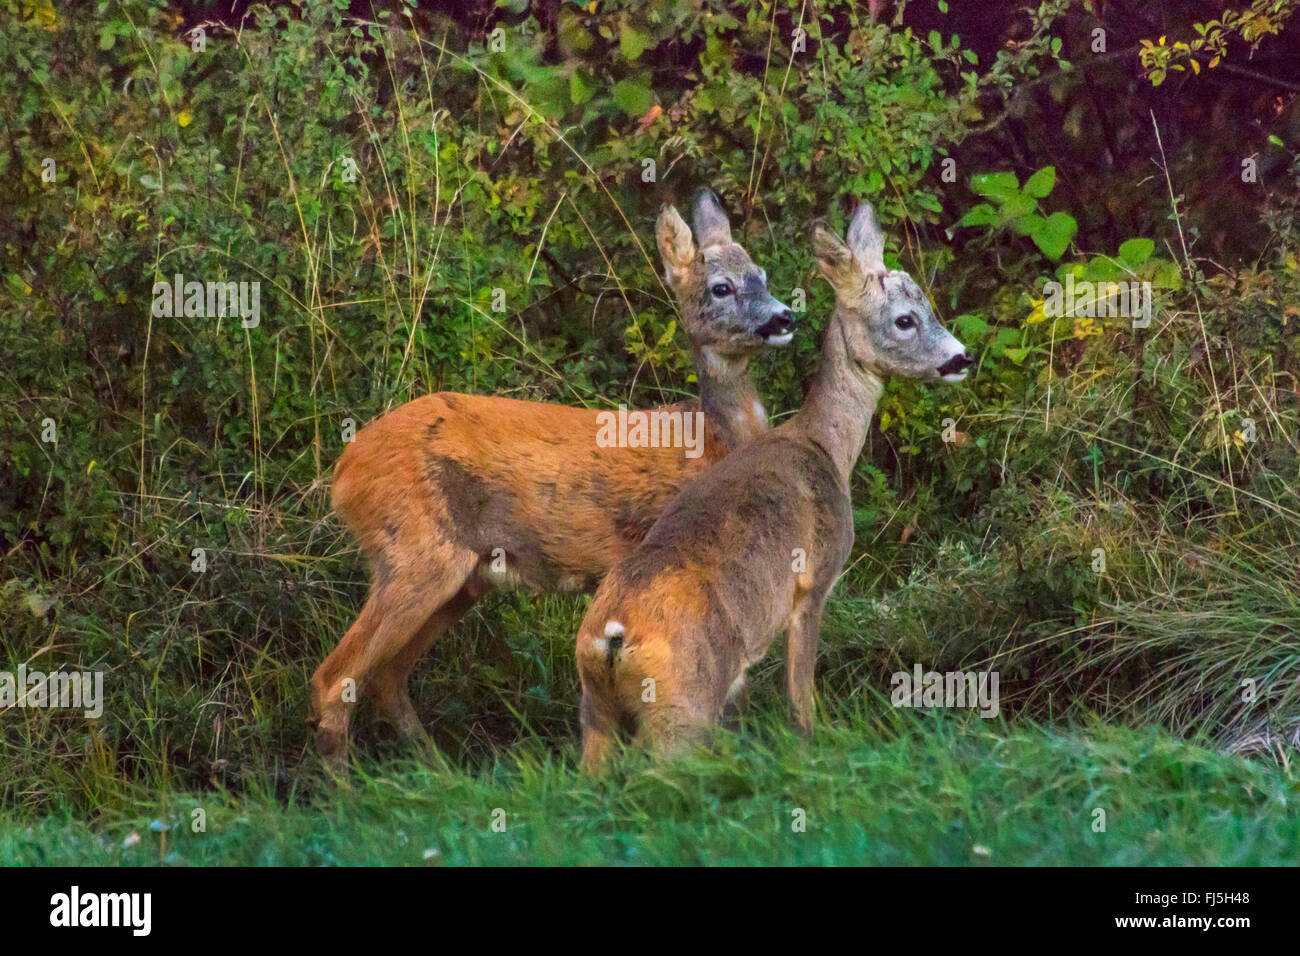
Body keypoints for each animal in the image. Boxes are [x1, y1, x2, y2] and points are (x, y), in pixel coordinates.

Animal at [310, 190, 797, 763]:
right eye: (721, 287)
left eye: (761, 275)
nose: (785, 316)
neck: (711, 439)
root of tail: (345, 472)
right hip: (414, 555)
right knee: (333, 678)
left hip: (460, 580)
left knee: (386, 679)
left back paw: (438, 770)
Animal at [574, 202, 973, 772]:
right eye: (904, 319)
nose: (962, 358)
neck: (822, 445)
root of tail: (612, 638)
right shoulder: (815, 583)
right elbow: (800, 704)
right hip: (682, 708)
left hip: (596, 713)